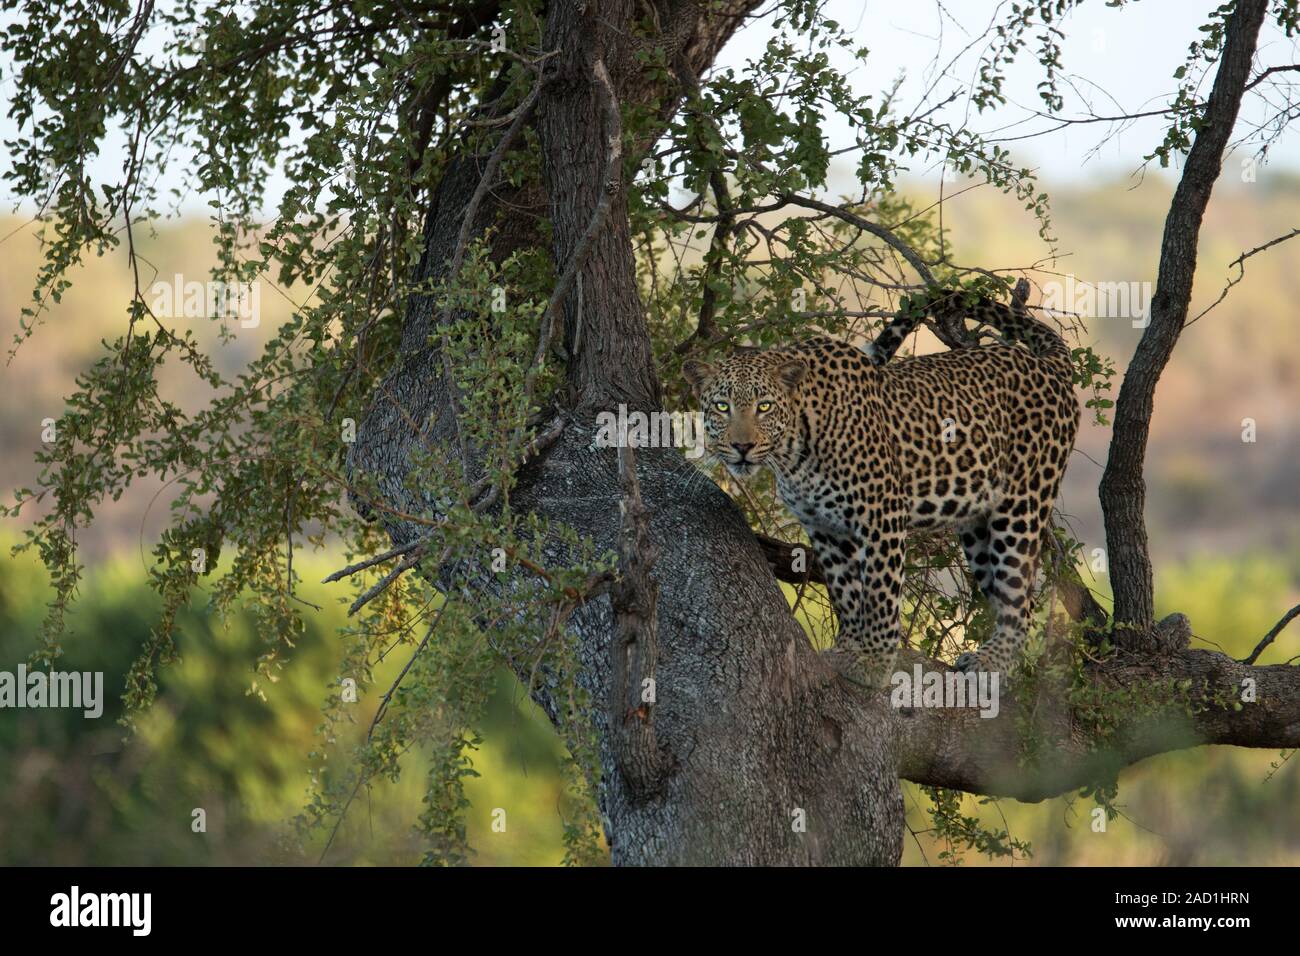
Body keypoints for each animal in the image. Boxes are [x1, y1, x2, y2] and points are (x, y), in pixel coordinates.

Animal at [682, 288, 1079, 682]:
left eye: (764, 407)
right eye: (722, 406)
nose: (742, 447)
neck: (795, 450)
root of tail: (1046, 362)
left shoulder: (881, 513)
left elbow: (878, 591)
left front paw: (876, 660)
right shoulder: (823, 527)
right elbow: (845, 591)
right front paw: (848, 647)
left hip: (1020, 506)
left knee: (1019, 599)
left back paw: (993, 660)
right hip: (976, 524)